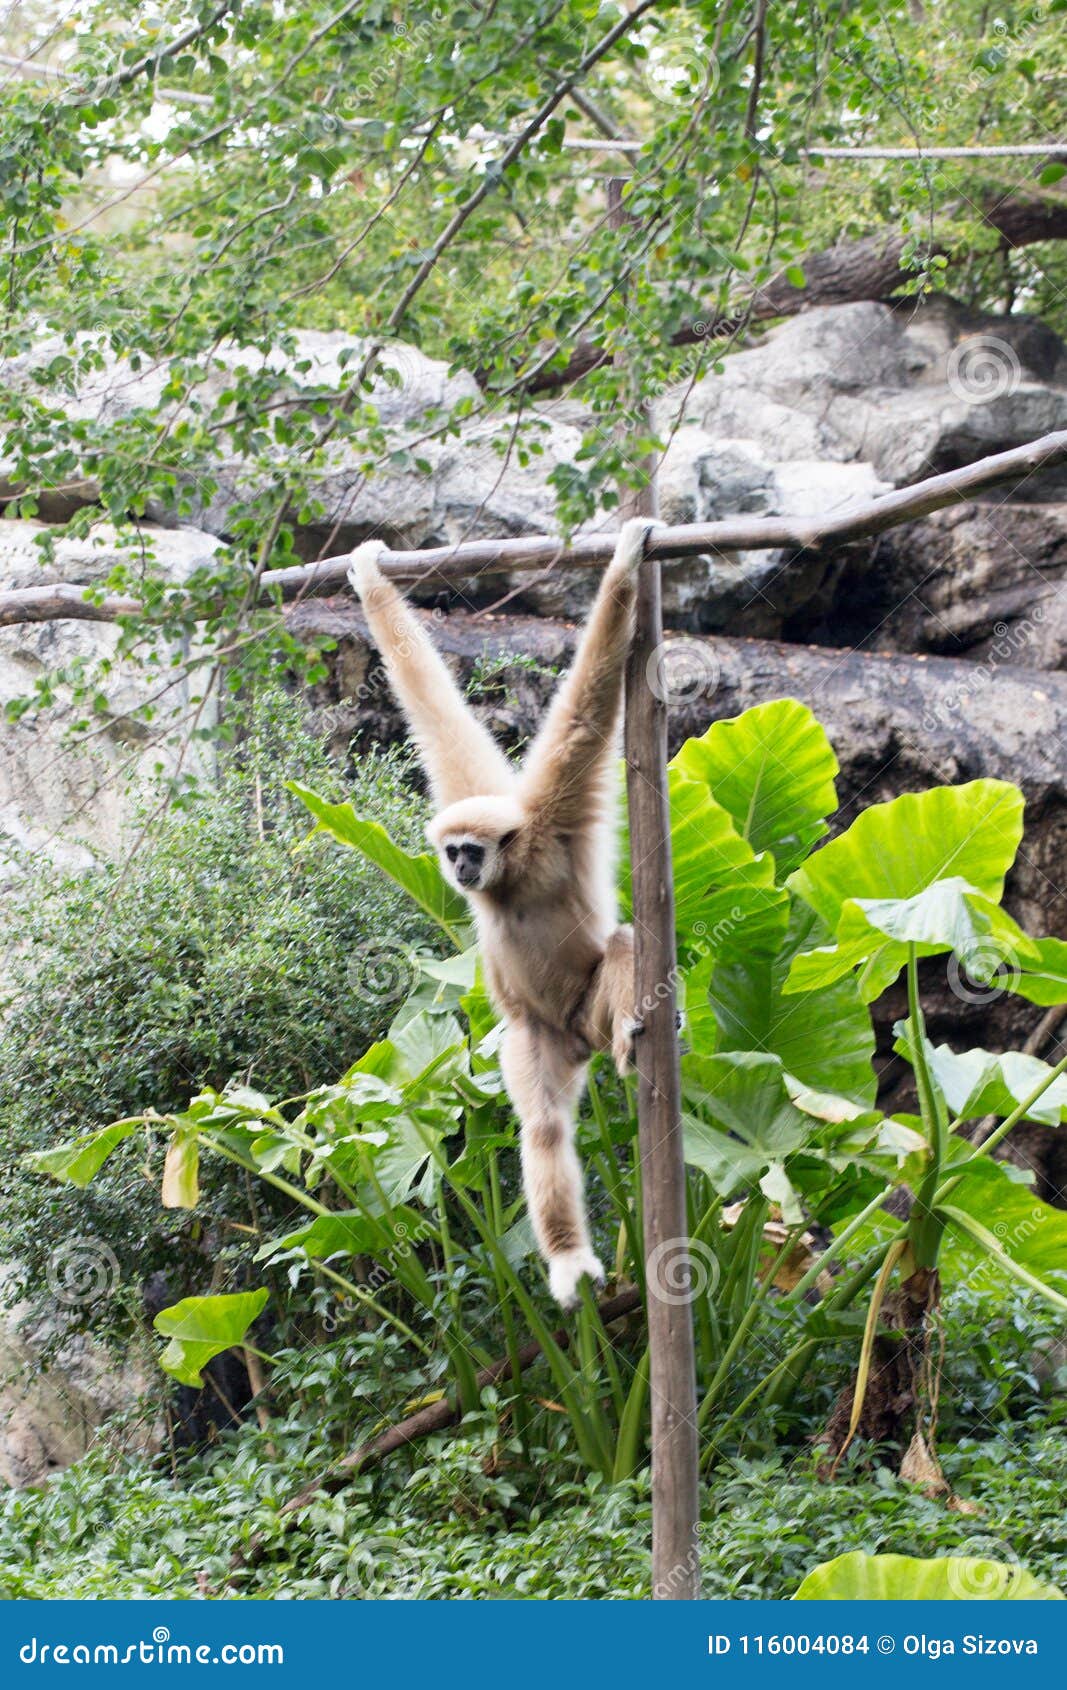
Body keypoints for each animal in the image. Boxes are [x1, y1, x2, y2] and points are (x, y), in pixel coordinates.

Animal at [348, 520, 656, 1307]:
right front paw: (371, 583)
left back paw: (630, 1039)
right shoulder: (484, 794)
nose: (459, 868)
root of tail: (575, 1039)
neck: (510, 878)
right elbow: (433, 708)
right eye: (452, 849)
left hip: (581, 1013)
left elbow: (582, 718)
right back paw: (568, 1258)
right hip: (531, 1037)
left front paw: (622, 565)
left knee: (624, 944)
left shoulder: (552, 811)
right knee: (542, 1128)